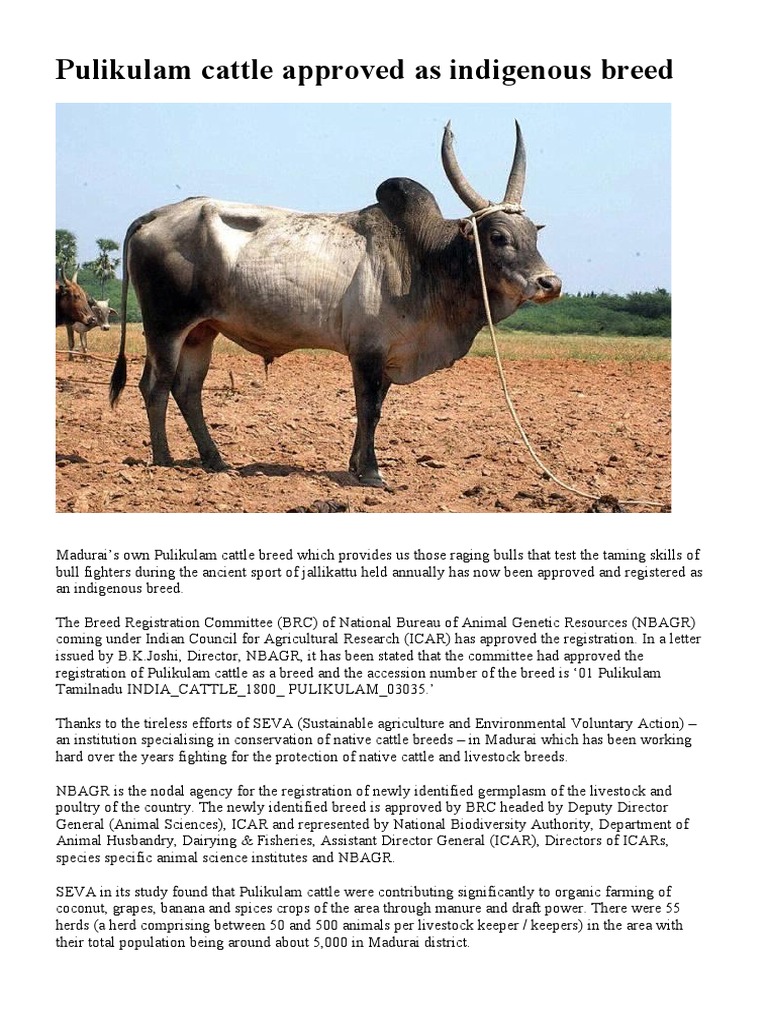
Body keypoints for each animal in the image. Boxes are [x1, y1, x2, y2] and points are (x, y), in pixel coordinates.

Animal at [110, 122, 561, 486]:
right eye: (498, 236)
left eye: (534, 234)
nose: (550, 283)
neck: (423, 258)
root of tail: (154, 216)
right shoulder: (367, 352)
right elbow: (369, 410)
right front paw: (372, 473)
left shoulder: (387, 356)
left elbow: (372, 409)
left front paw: (355, 465)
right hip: (166, 326)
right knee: (155, 386)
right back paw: (164, 460)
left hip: (201, 332)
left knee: (188, 390)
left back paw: (215, 461)